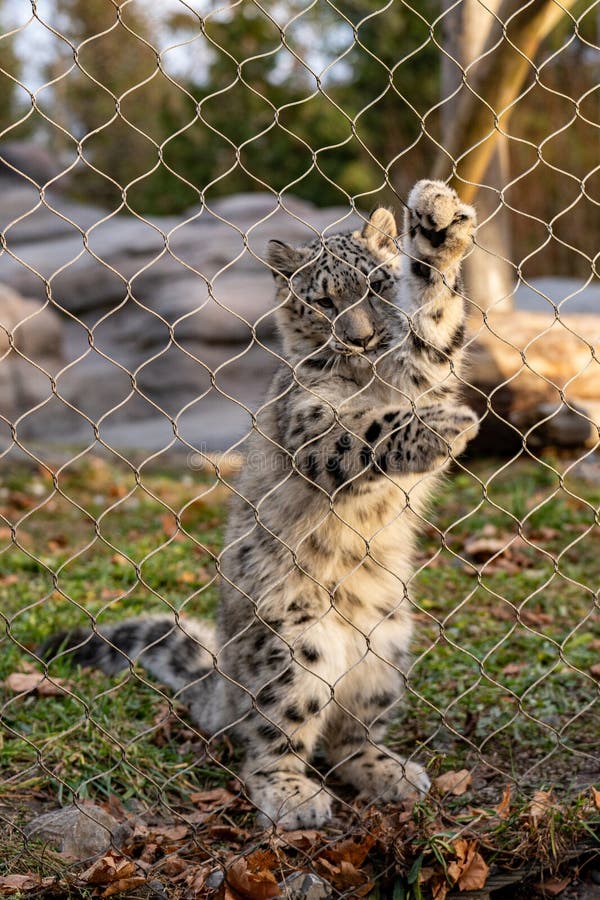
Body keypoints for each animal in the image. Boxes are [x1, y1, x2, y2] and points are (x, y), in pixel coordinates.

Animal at [42, 180, 479, 830]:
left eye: (377, 286)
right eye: (322, 302)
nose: (360, 338)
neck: (373, 378)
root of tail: (227, 675)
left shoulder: (422, 371)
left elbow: (434, 321)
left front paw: (438, 218)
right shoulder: (313, 426)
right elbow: (363, 433)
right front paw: (439, 428)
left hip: (387, 650)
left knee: (349, 734)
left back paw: (388, 772)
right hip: (293, 649)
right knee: (273, 737)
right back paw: (293, 796)